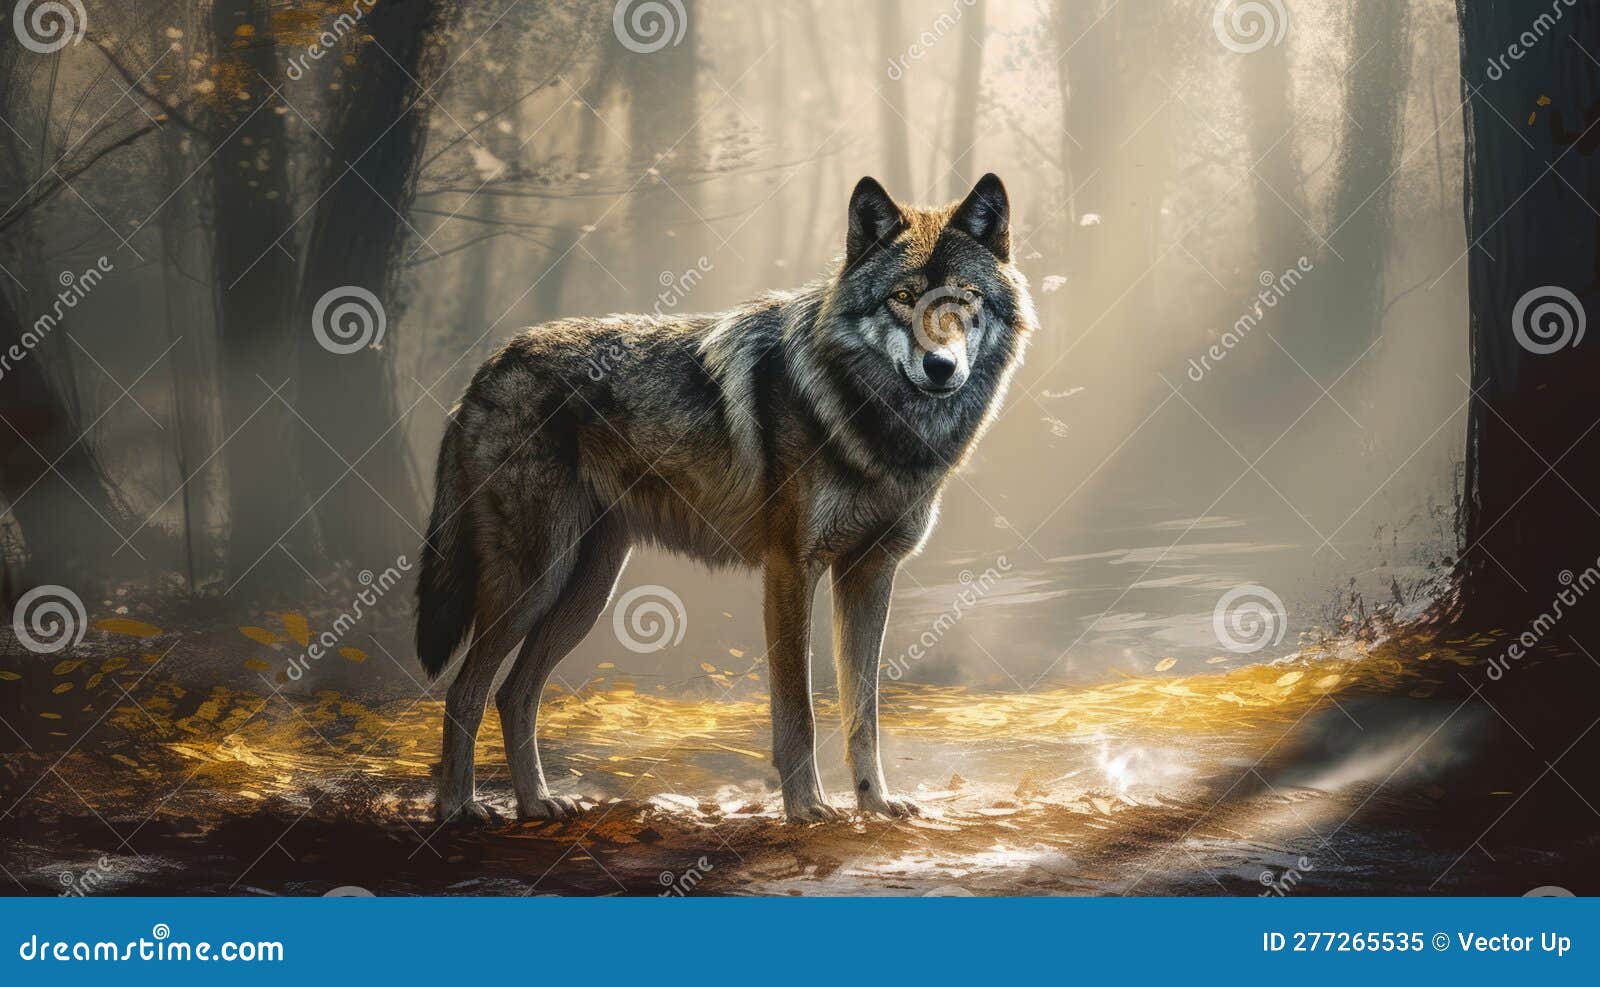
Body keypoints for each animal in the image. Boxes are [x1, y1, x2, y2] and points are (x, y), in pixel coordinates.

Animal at [415, 173, 1036, 823]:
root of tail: (488, 365)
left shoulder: (870, 573)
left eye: (964, 300)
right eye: (903, 296)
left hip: (585, 590)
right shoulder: (790, 569)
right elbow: (799, 713)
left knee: (514, 693)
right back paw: (458, 809)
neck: (876, 427)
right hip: (536, 580)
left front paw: (875, 803)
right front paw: (807, 809)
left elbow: (862, 712)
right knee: (463, 689)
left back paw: (538, 803)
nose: (940, 367)